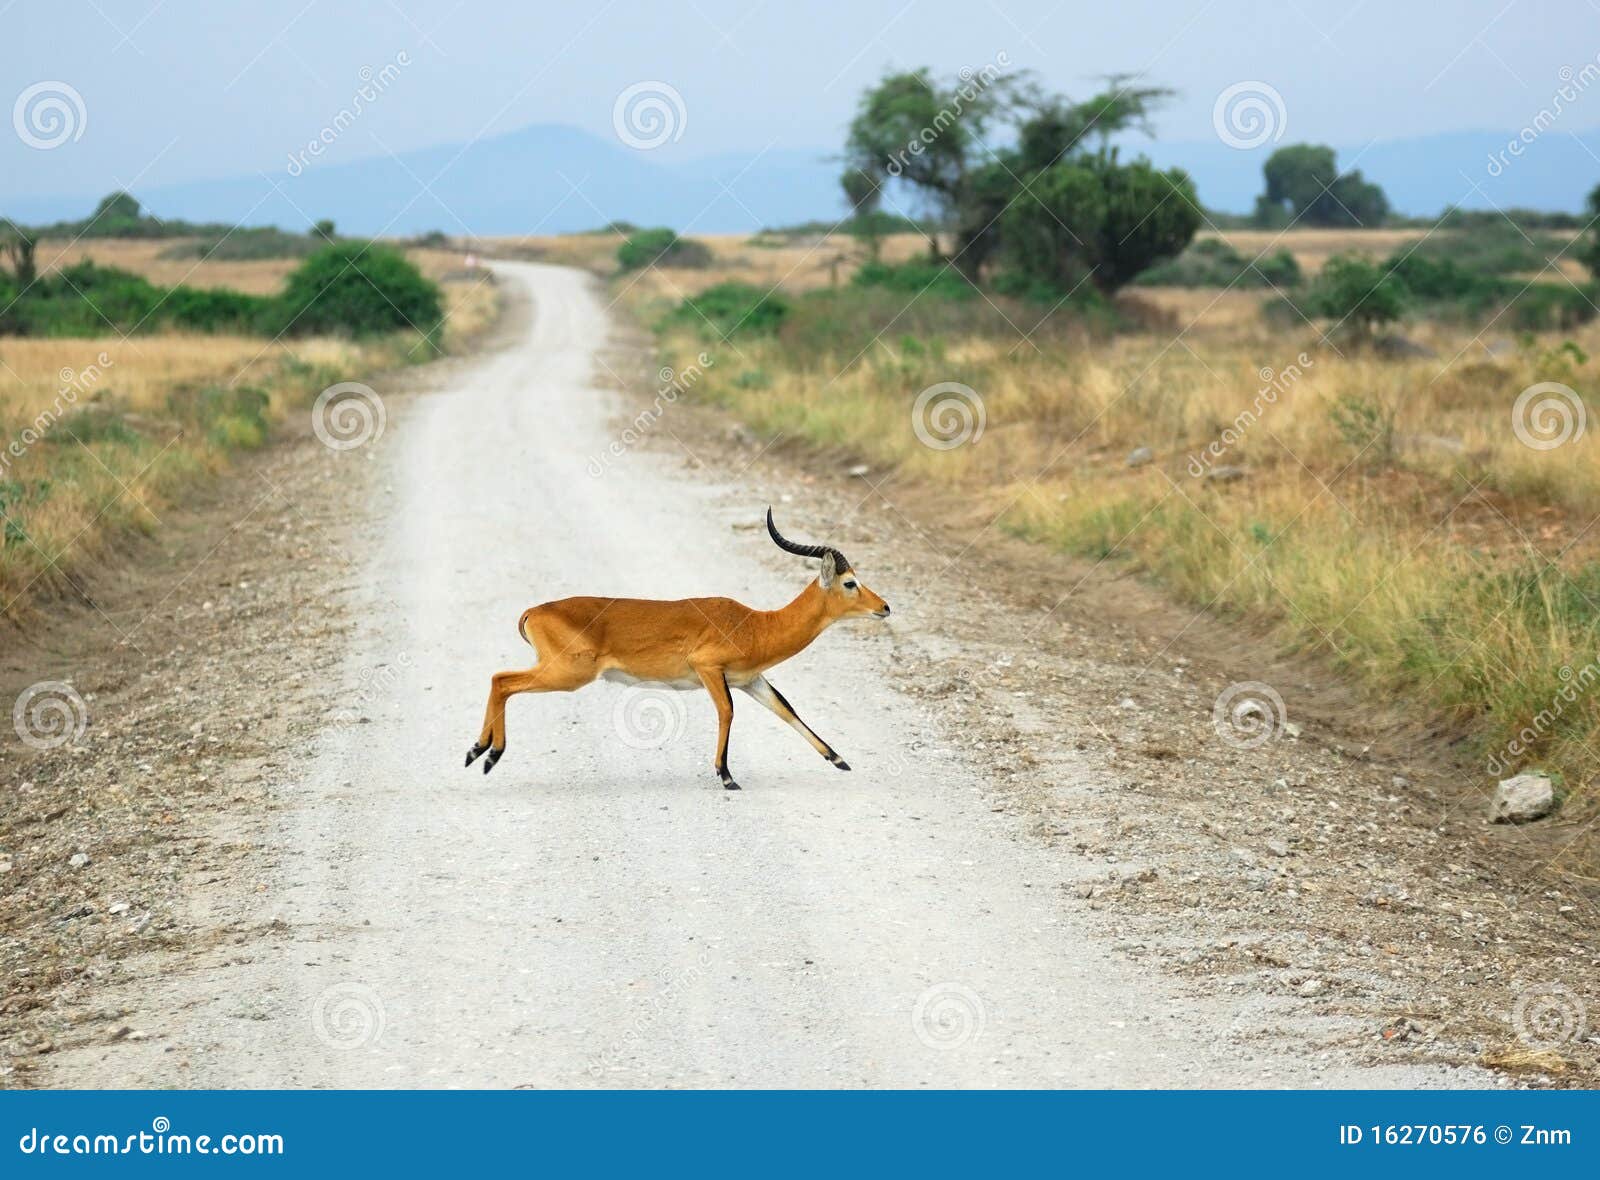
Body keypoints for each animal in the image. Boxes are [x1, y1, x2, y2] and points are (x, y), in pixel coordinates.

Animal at [464, 510, 891, 789]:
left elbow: (787, 710)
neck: (758, 625)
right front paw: (726, 776)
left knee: (499, 679)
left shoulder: (751, 679)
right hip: (569, 672)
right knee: (501, 679)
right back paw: (486, 754)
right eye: (850, 582)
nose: (885, 607)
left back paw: (478, 752)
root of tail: (535, 610)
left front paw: (839, 759)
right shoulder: (709, 669)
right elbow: (727, 712)